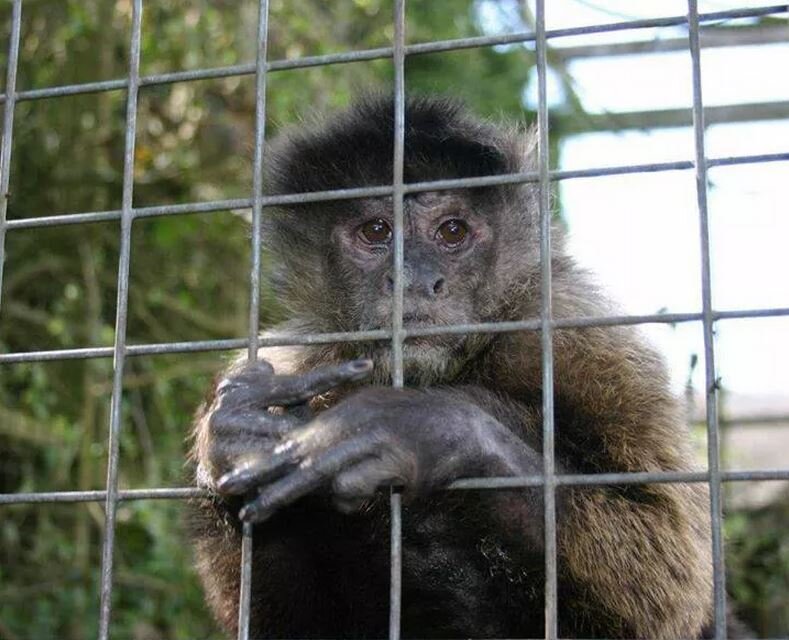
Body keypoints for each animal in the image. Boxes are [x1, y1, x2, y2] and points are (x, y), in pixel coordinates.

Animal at [189, 95, 717, 639]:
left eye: (452, 231)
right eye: (376, 231)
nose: (414, 280)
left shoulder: (581, 333)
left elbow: (671, 581)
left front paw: (426, 429)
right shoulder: (296, 359)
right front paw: (238, 436)